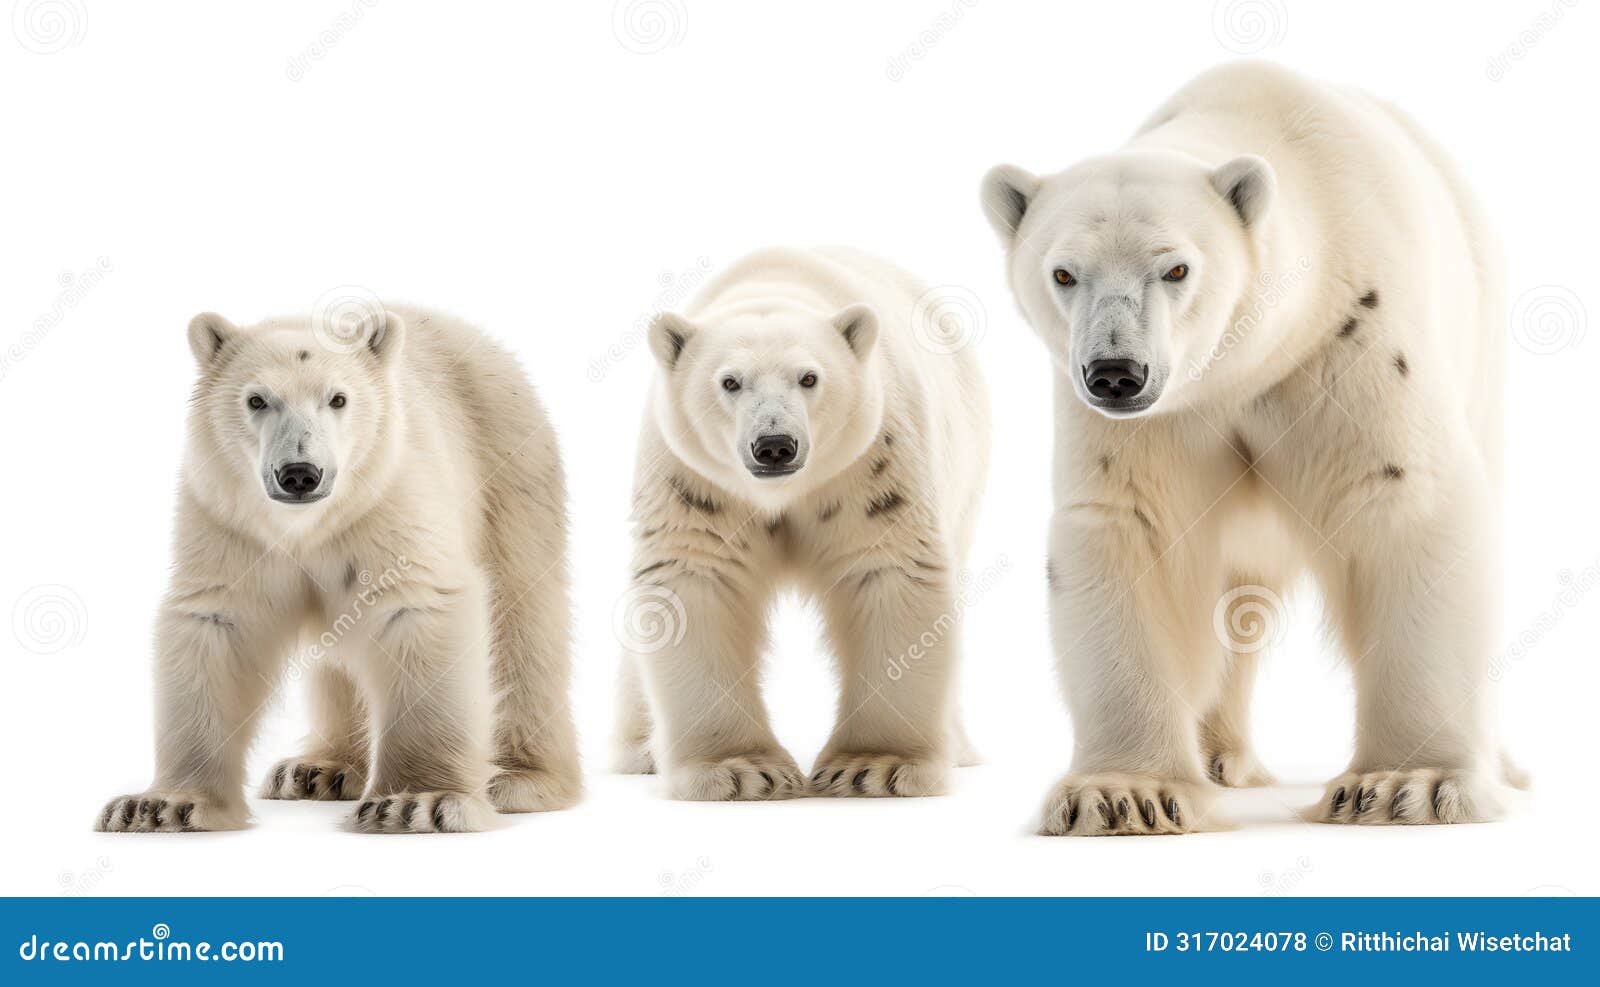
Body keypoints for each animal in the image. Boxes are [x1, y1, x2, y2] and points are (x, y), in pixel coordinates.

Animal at [95, 304, 579, 832]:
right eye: (257, 399)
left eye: (338, 398)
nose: (299, 473)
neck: (307, 526)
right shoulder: (228, 520)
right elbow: (217, 622)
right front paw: (159, 806)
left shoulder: (391, 498)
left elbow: (417, 606)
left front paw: (414, 803)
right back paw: (316, 770)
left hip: (508, 468)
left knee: (523, 622)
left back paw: (516, 779)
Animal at [611, 246, 990, 800]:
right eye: (730, 381)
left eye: (809, 377)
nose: (775, 445)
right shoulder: (694, 482)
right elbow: (694, 582)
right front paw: (740, 770)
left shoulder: (874, 463)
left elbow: (889, 573)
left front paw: (874, 767)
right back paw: (639, 749)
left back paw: (958, 745)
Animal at [980, 61, 1520, 834]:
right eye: (1063, 273)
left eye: (1175, 269)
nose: (1116, 372)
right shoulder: (1157, 419)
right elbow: (1133, 528)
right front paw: (1121, 793)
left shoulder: (1350, 341)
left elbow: (1402, 495)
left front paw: (1404, 784)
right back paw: (1216, 756)